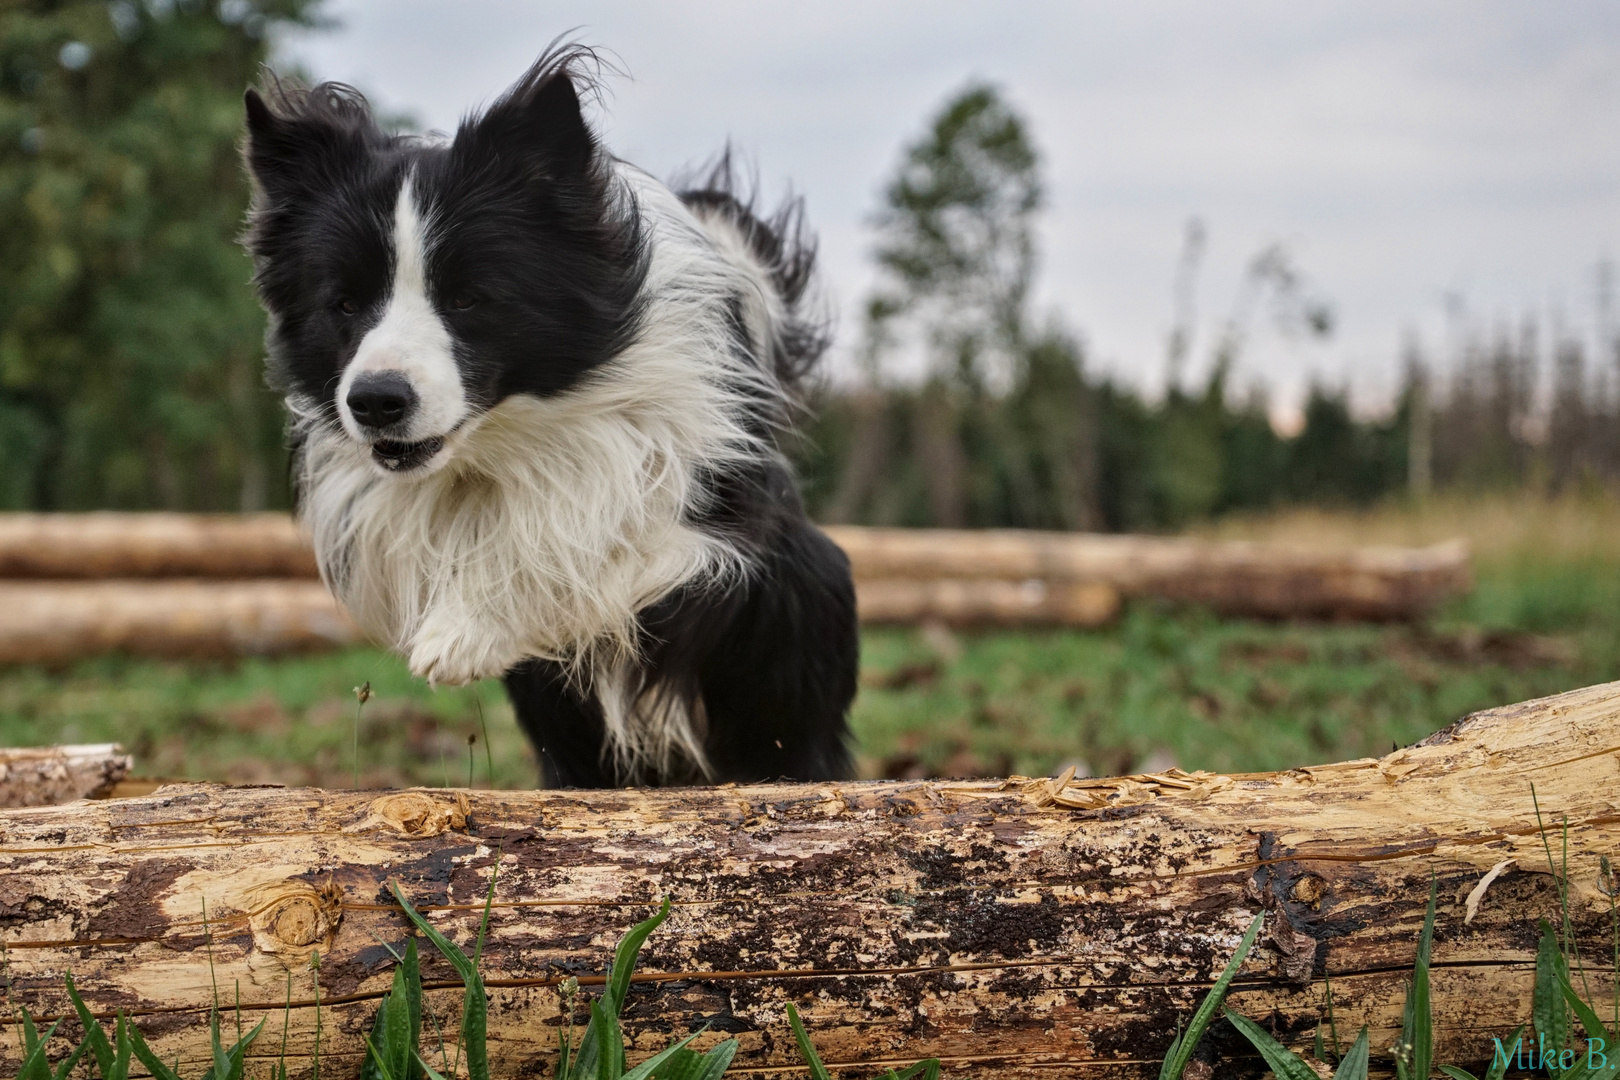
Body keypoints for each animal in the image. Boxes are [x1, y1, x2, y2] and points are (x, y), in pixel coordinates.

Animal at [241, 46, 861, 790]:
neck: (508, 438)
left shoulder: (714, 518)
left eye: (468, 298)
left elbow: (590, 529)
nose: (376, 402)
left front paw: (462, 633)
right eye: (344, 303)